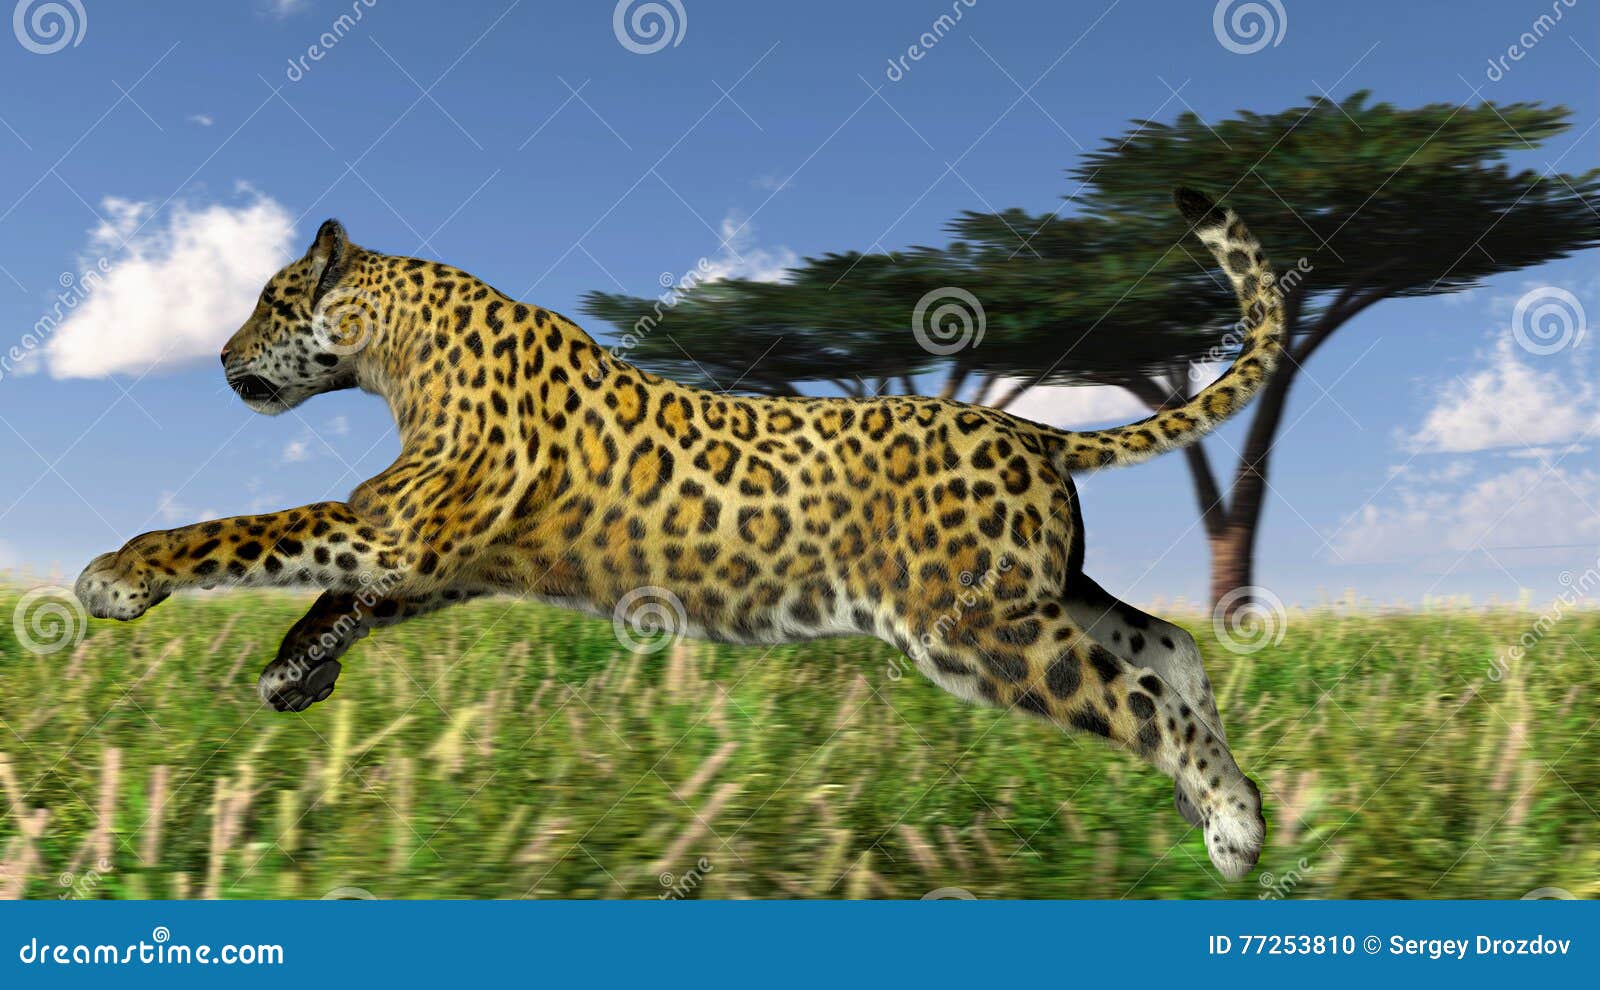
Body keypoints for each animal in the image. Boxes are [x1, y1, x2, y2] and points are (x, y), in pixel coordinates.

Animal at [76, 188, 1283, 880]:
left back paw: (1235, 827)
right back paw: (1217, 801)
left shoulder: (401, 524)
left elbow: (245, 531)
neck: (393, 344)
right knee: (1171, 651)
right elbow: (338, 596)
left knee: (1135, 694)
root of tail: (1031, 426)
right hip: (1035, 594)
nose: (220, 355)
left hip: (971, 628)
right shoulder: (440, 555)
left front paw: (116, 577)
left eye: (271, 303)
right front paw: (293, 674)